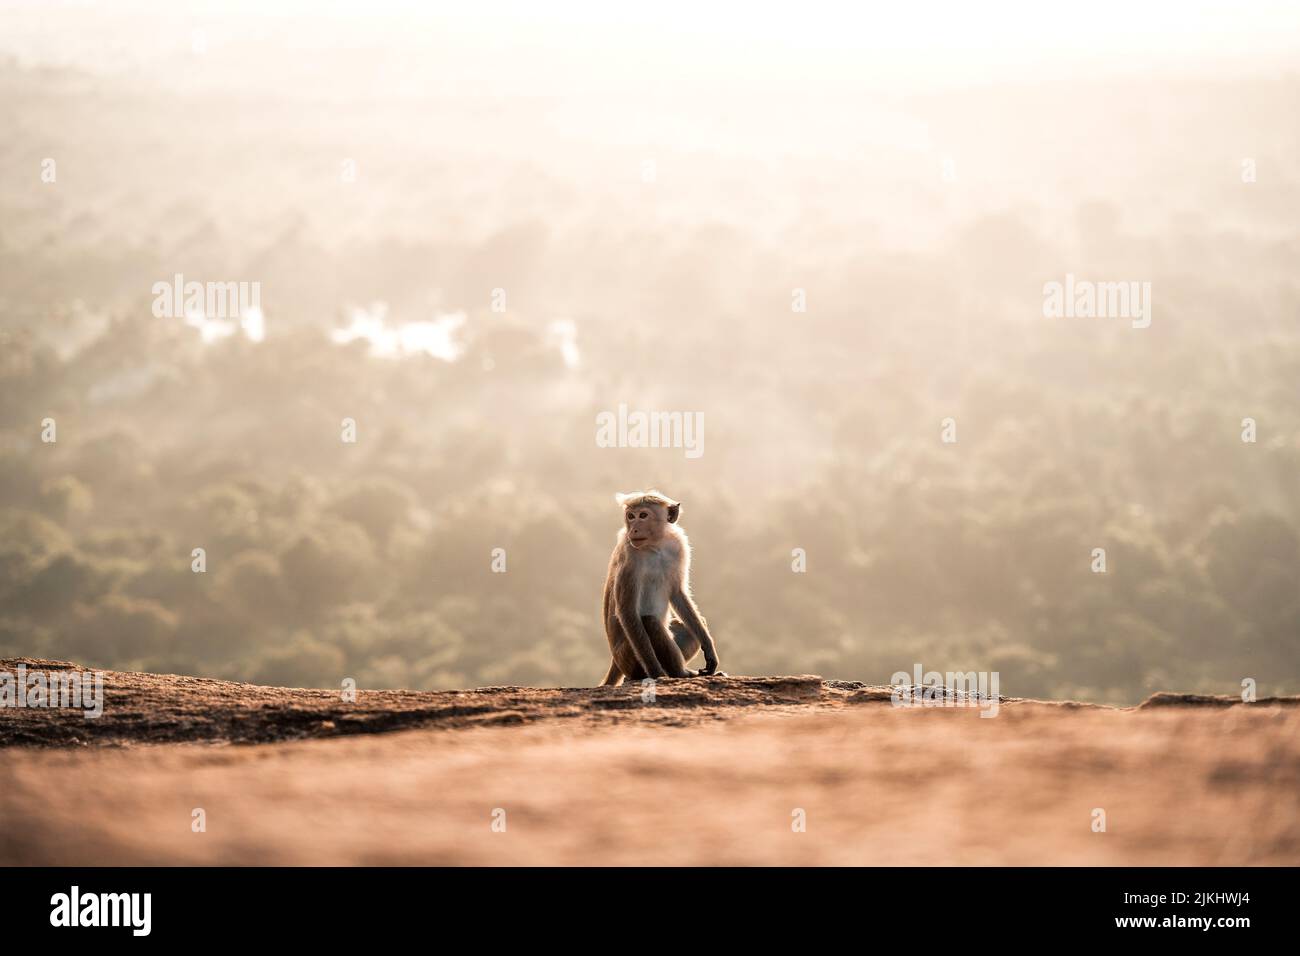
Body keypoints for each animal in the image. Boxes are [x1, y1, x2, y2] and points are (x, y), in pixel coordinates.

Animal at [599, 490, 722, 686]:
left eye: (643, 515)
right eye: (630, 516)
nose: (634, 529)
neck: (654, 546)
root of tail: (616, 661)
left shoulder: (679, 546)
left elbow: (678, 593)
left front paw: (709, 650)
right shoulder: (629, 556)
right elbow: (627, 611)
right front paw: (656, 673)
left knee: (683, 625)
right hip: (629, 658)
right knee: (650, 622)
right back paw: (681, 674)